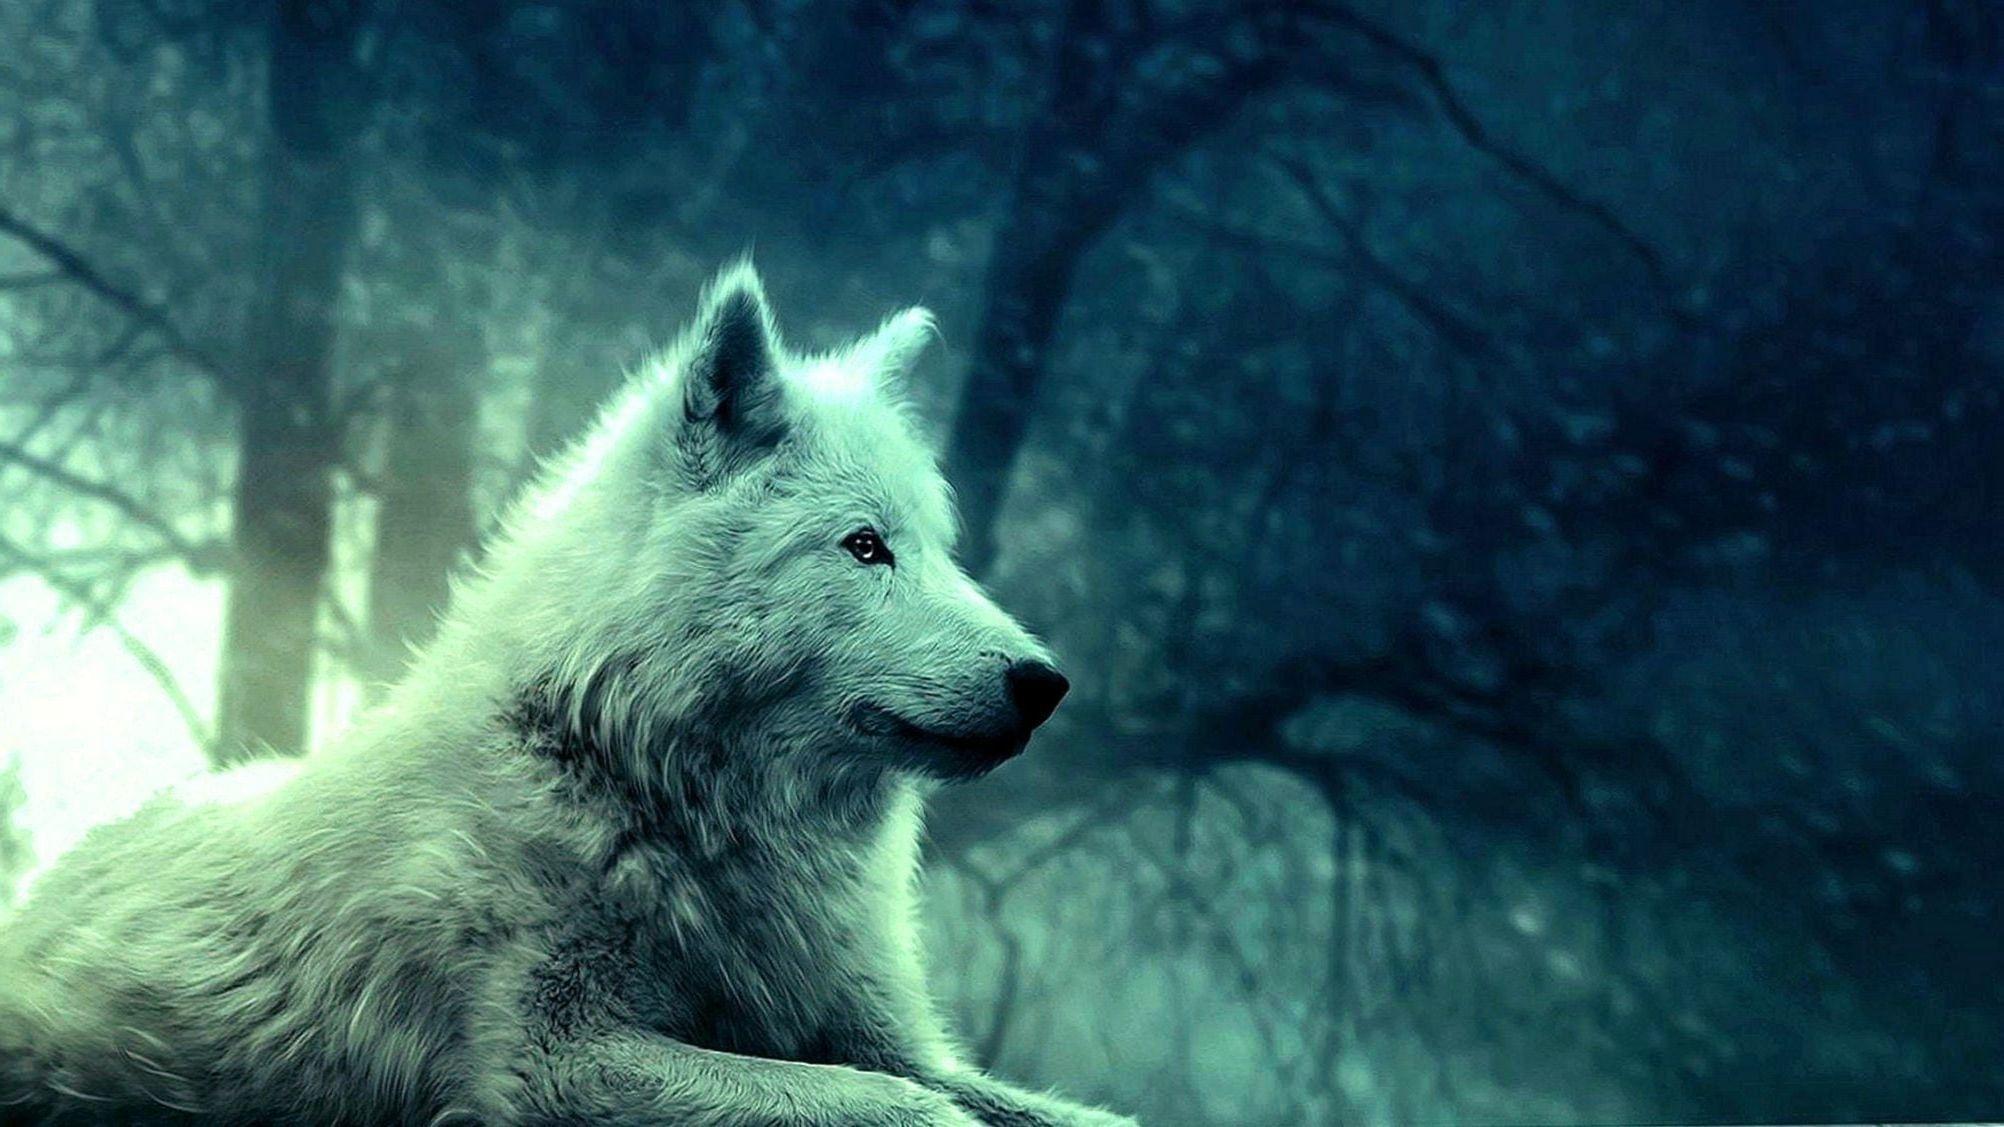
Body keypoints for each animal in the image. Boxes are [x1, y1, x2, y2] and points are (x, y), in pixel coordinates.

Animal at [0, 265, 1134, 1126]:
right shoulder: (552, 1060)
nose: (1045, 682)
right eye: (864, 546)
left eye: (940, 547)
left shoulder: (892, 1037)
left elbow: (1039, 1108)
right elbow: (897, 1106)